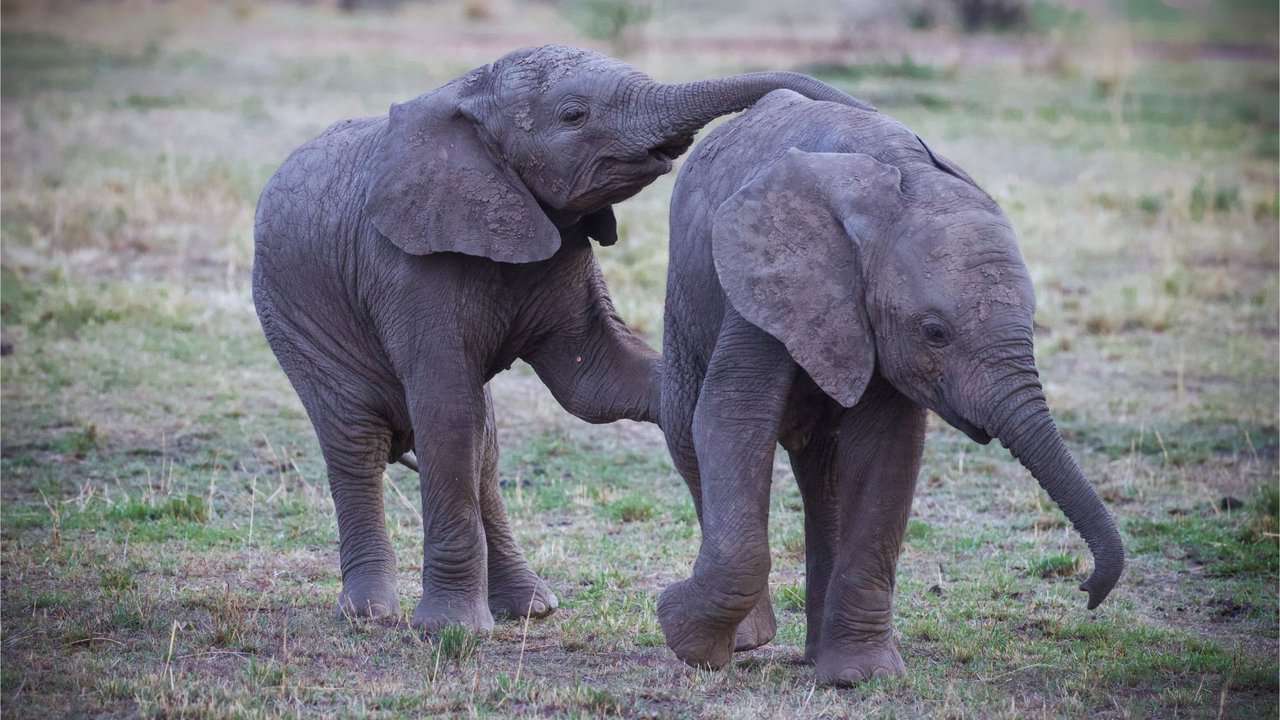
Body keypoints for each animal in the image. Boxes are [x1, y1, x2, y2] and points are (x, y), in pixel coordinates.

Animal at [252, 45, 871, 635]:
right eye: (574, 115)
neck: (471, 91)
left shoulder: (565, 247)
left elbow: (594, 382)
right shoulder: (408, 267)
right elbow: (444, 410)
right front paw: (451, 631)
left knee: (483, 449)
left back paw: (532, 608)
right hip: (293, 317)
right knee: (359, 439)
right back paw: (371, 614)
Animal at [655, 89, 1124, 684]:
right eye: (935, 332)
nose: (1086, 589)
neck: (898, 183)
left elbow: (886, 451)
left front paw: (862, 677)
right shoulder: (767, 282)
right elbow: (733, 419)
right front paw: (683, 635)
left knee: (824, 475)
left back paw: (819, 658)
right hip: (686, 290)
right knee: (686, 430)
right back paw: (746, 641)